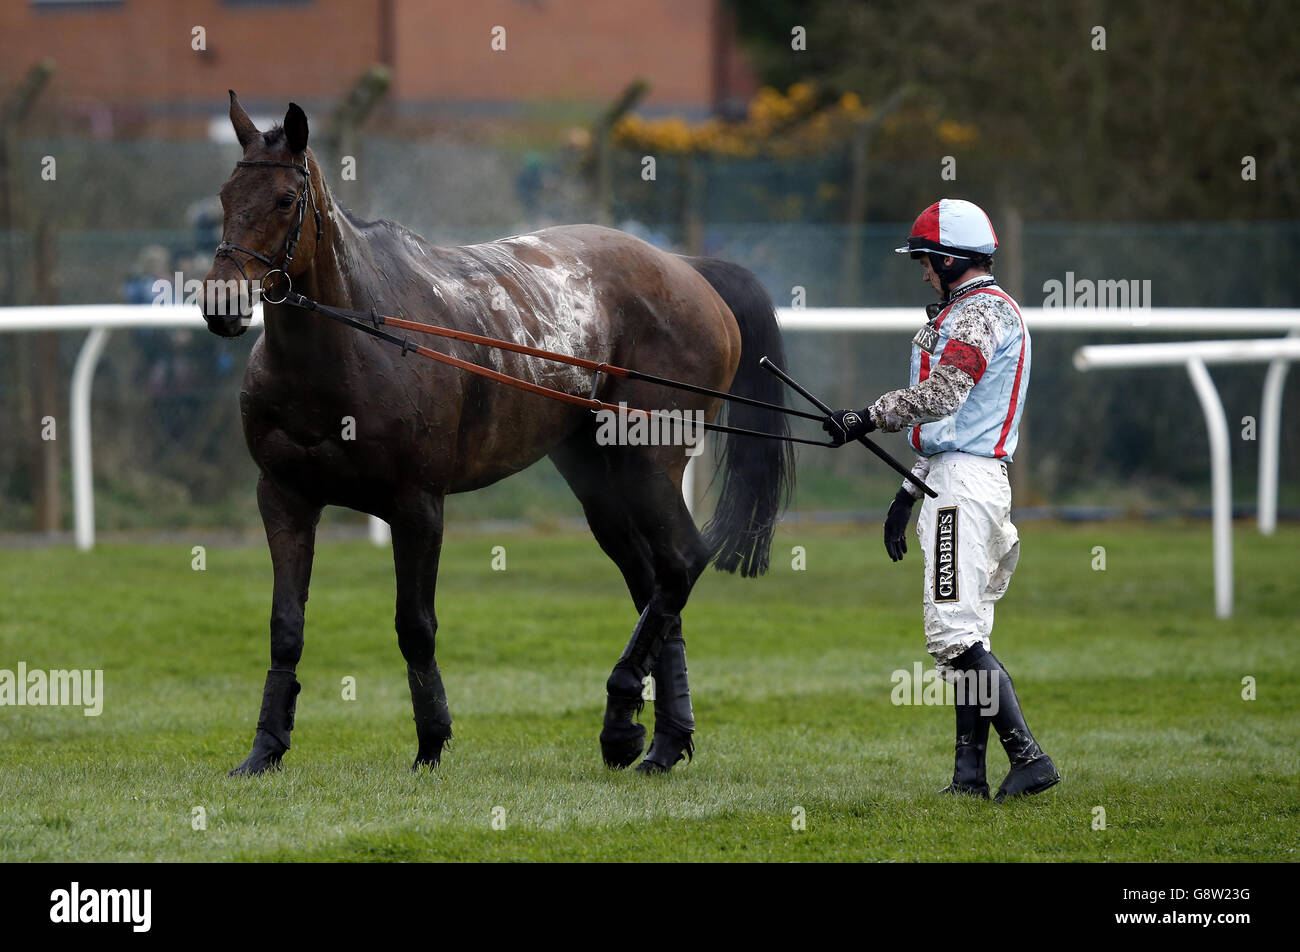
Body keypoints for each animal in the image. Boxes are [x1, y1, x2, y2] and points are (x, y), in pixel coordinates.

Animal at [201, 93, 793, 776]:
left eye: (284, 200)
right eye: (225, 194)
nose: (220, 304)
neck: (353, 342)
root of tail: (685, 268)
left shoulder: (417, 503)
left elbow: (415, 624)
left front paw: (431, 740)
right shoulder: (284, 495)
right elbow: (286, 624)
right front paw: (266, 746)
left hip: (651, 459)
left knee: (681, 562)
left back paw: (625, 718)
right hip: (600, 481)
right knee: (654, 584)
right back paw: (663, 740)